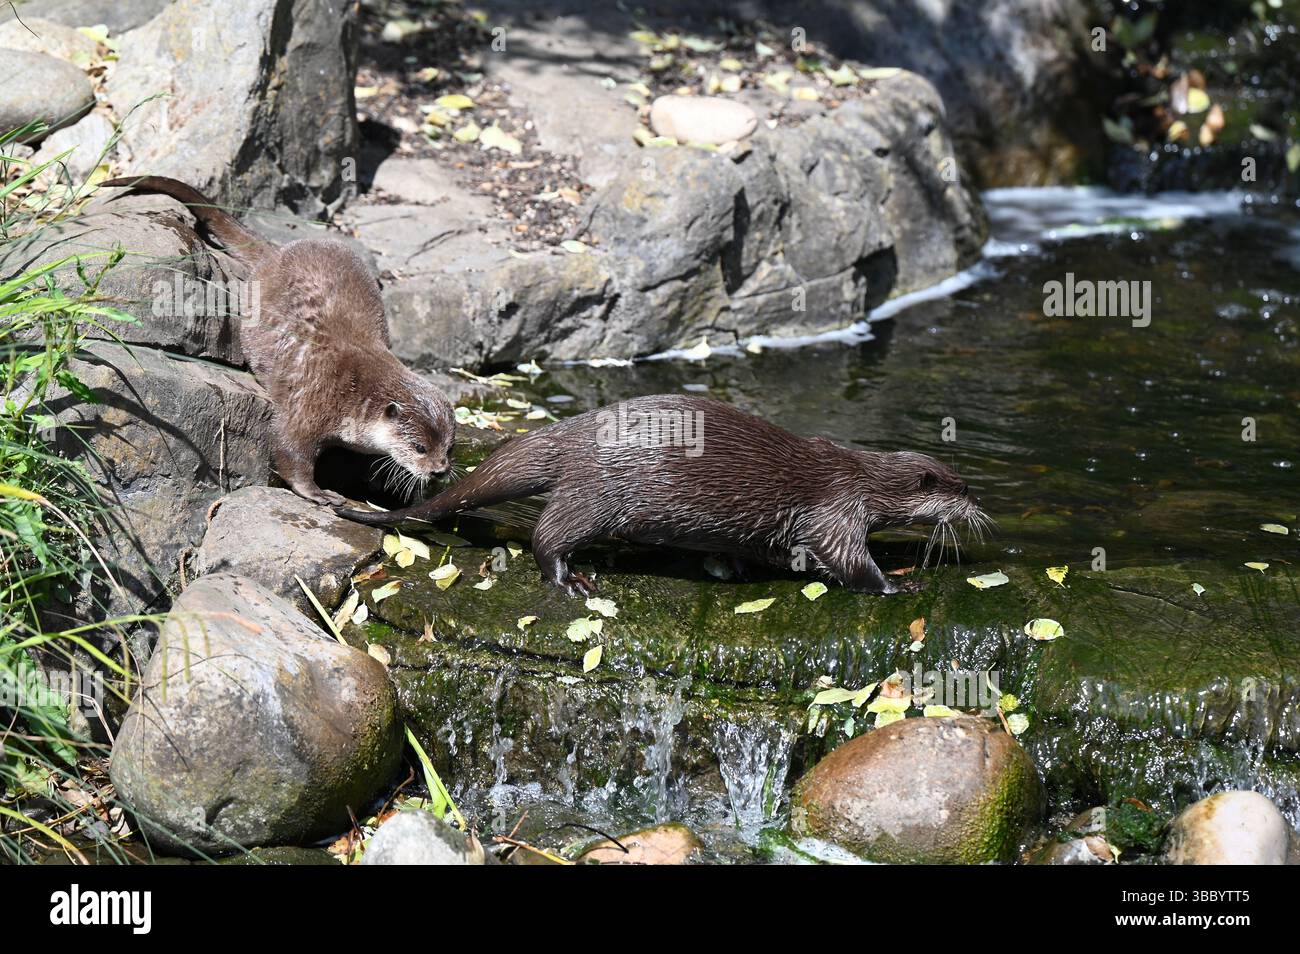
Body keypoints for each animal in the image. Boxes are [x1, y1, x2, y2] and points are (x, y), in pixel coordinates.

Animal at [101, 175, 455, 505]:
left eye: (450, 447)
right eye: (419, 447)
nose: (439, 470)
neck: (358, 391)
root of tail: (277, 252)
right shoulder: (314, 399)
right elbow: (289, 446)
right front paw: (318, 493)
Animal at [335, 394, 987, 596]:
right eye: (962, 488)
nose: (979, 506)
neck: (864, 479)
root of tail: (572, 433)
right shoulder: (839, 509)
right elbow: (848, 560)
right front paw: (900, 583)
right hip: (596, 495)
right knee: (549, 534)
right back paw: (570, 580)